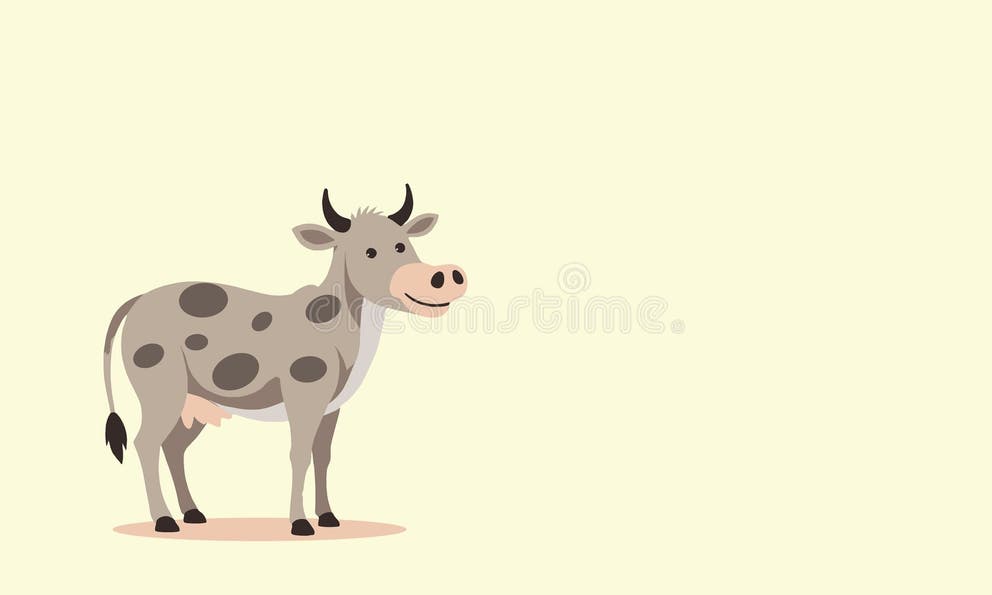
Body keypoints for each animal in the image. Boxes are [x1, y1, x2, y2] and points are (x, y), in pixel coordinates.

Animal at [102, 185, 467, 535]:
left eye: (403, 245)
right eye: (369, 252)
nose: (444, 275)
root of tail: (136, 302)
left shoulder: (332, 407)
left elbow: (323, 456)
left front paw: (329, 517)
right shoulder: (304, 394)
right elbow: (299, 454)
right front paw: (300, 524)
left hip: (194, 402)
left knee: (174, 446)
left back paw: (193, 514)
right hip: (160, 389)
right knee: (146, 443)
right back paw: (165, 520)